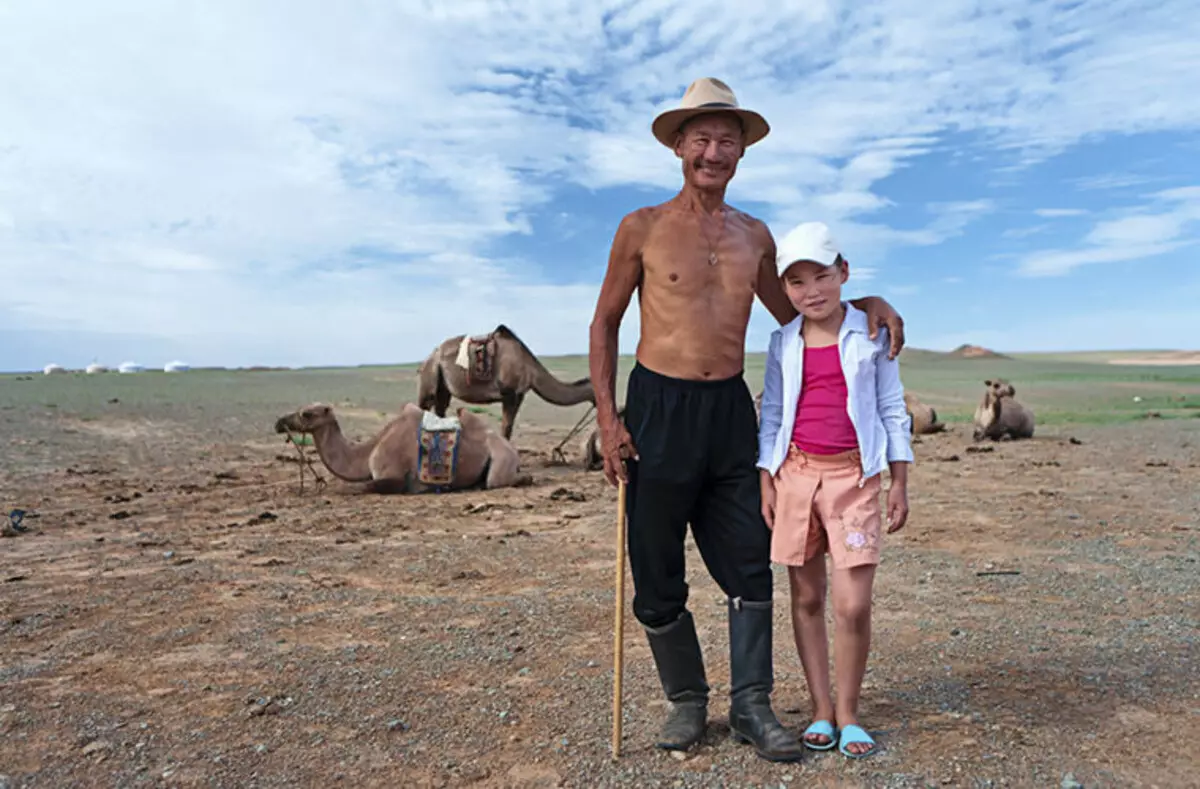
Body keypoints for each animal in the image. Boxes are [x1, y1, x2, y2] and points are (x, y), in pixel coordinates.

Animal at [278, 400, 532, 491]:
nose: (280, 422)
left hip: (501, 458)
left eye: (306, 414)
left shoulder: (394, 475)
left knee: (496, 481)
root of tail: (512, 449)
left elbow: (364, 487)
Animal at [417, 323, 595, 438]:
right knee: (423, 407)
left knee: (440, 411)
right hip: (430, 377)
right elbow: (506, 427)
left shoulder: (519, 394)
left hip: (443, 386)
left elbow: (508, 427)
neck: (529, 367)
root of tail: (429, 357)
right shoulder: (508, 393)